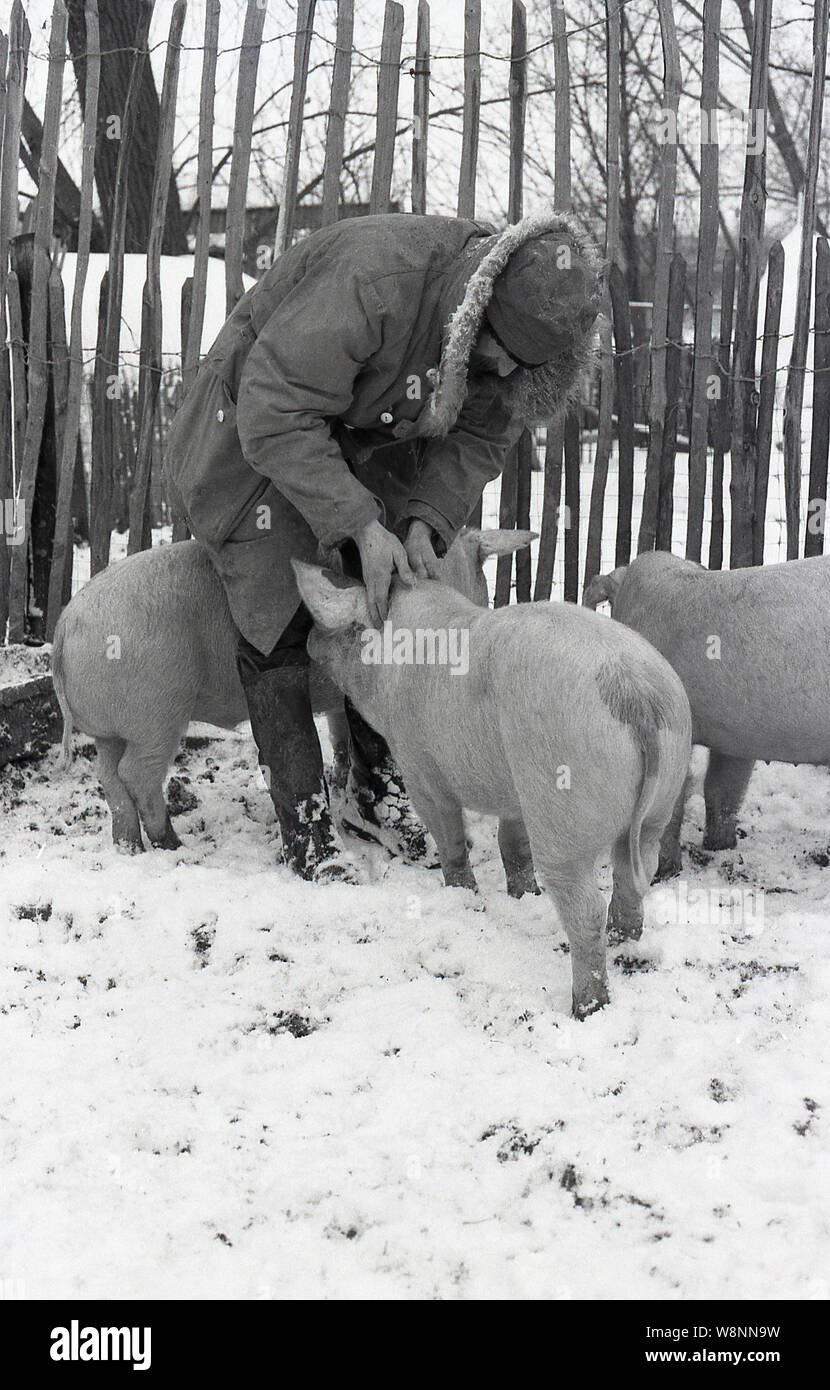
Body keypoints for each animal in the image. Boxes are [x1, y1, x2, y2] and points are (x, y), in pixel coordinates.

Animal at [51, 539, 347, 852]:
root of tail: (64, 626)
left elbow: (341, 734)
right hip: (158, 712)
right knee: (136, 774)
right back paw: (173, 844)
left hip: (111, 729)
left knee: (108, 776)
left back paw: (129, 847)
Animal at [293, 530, 692, 1018]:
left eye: (344, 628)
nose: (308, 640)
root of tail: (632, 691)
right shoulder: (514, 788)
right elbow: (512, 843)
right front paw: (521, 895)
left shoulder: (421, 767)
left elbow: (449, 836)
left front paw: (462, 895)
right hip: (661, 789)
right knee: (636, 874)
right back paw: (624, 942)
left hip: (563, 808)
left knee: (585, 907)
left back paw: (586, 1005)